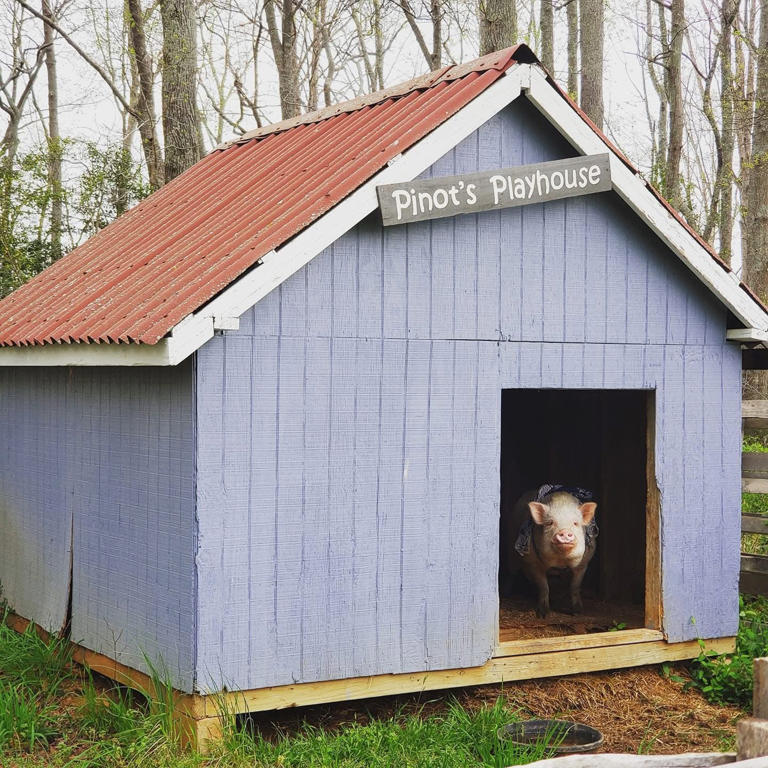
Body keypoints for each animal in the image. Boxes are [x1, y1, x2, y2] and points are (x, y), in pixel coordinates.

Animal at [501, 486, 598, 618]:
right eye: (550, 523)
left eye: (575, 523)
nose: (564, 531)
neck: (561, 561)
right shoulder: (534, 563)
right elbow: (544, 587)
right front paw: (543, 614)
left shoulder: (583, 563)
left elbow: (574, 586)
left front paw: (577, 612)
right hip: (512, 548)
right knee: (513, 572)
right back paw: (507, 593)